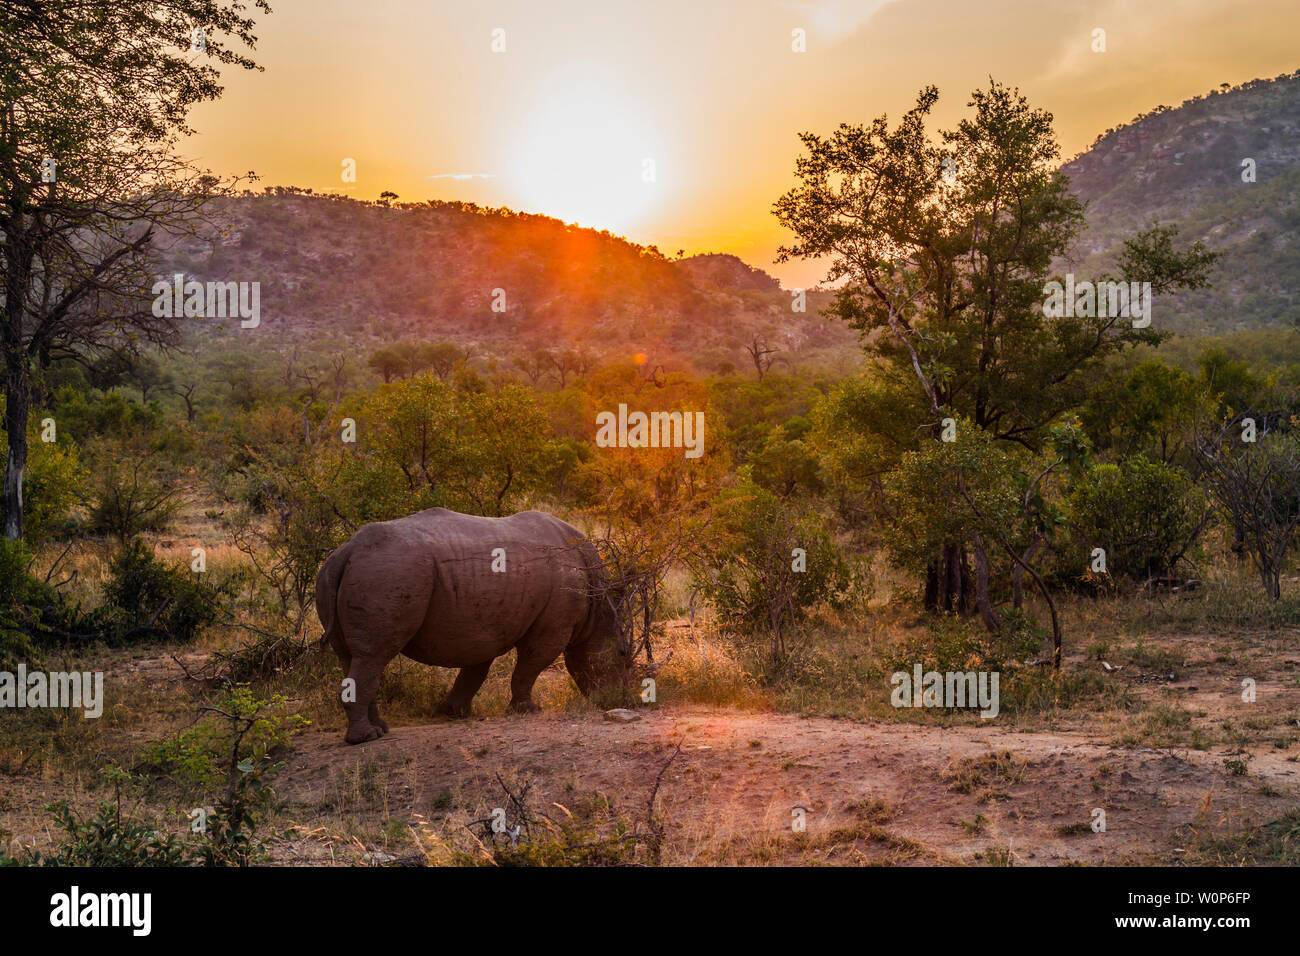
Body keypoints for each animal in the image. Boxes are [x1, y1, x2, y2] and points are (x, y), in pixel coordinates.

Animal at [315, 507, 629, 744]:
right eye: (623, 654)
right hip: (389, 570)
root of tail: (348, 549)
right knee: (373, 656)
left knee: (353, 657)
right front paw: (528, 711)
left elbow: (475, 670)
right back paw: (366, 738)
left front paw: (452, 712)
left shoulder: (484, 624)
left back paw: (381, 729)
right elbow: (529, 666)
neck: (599, 605)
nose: (622, 698)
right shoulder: (553, 626)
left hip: (345, 571)